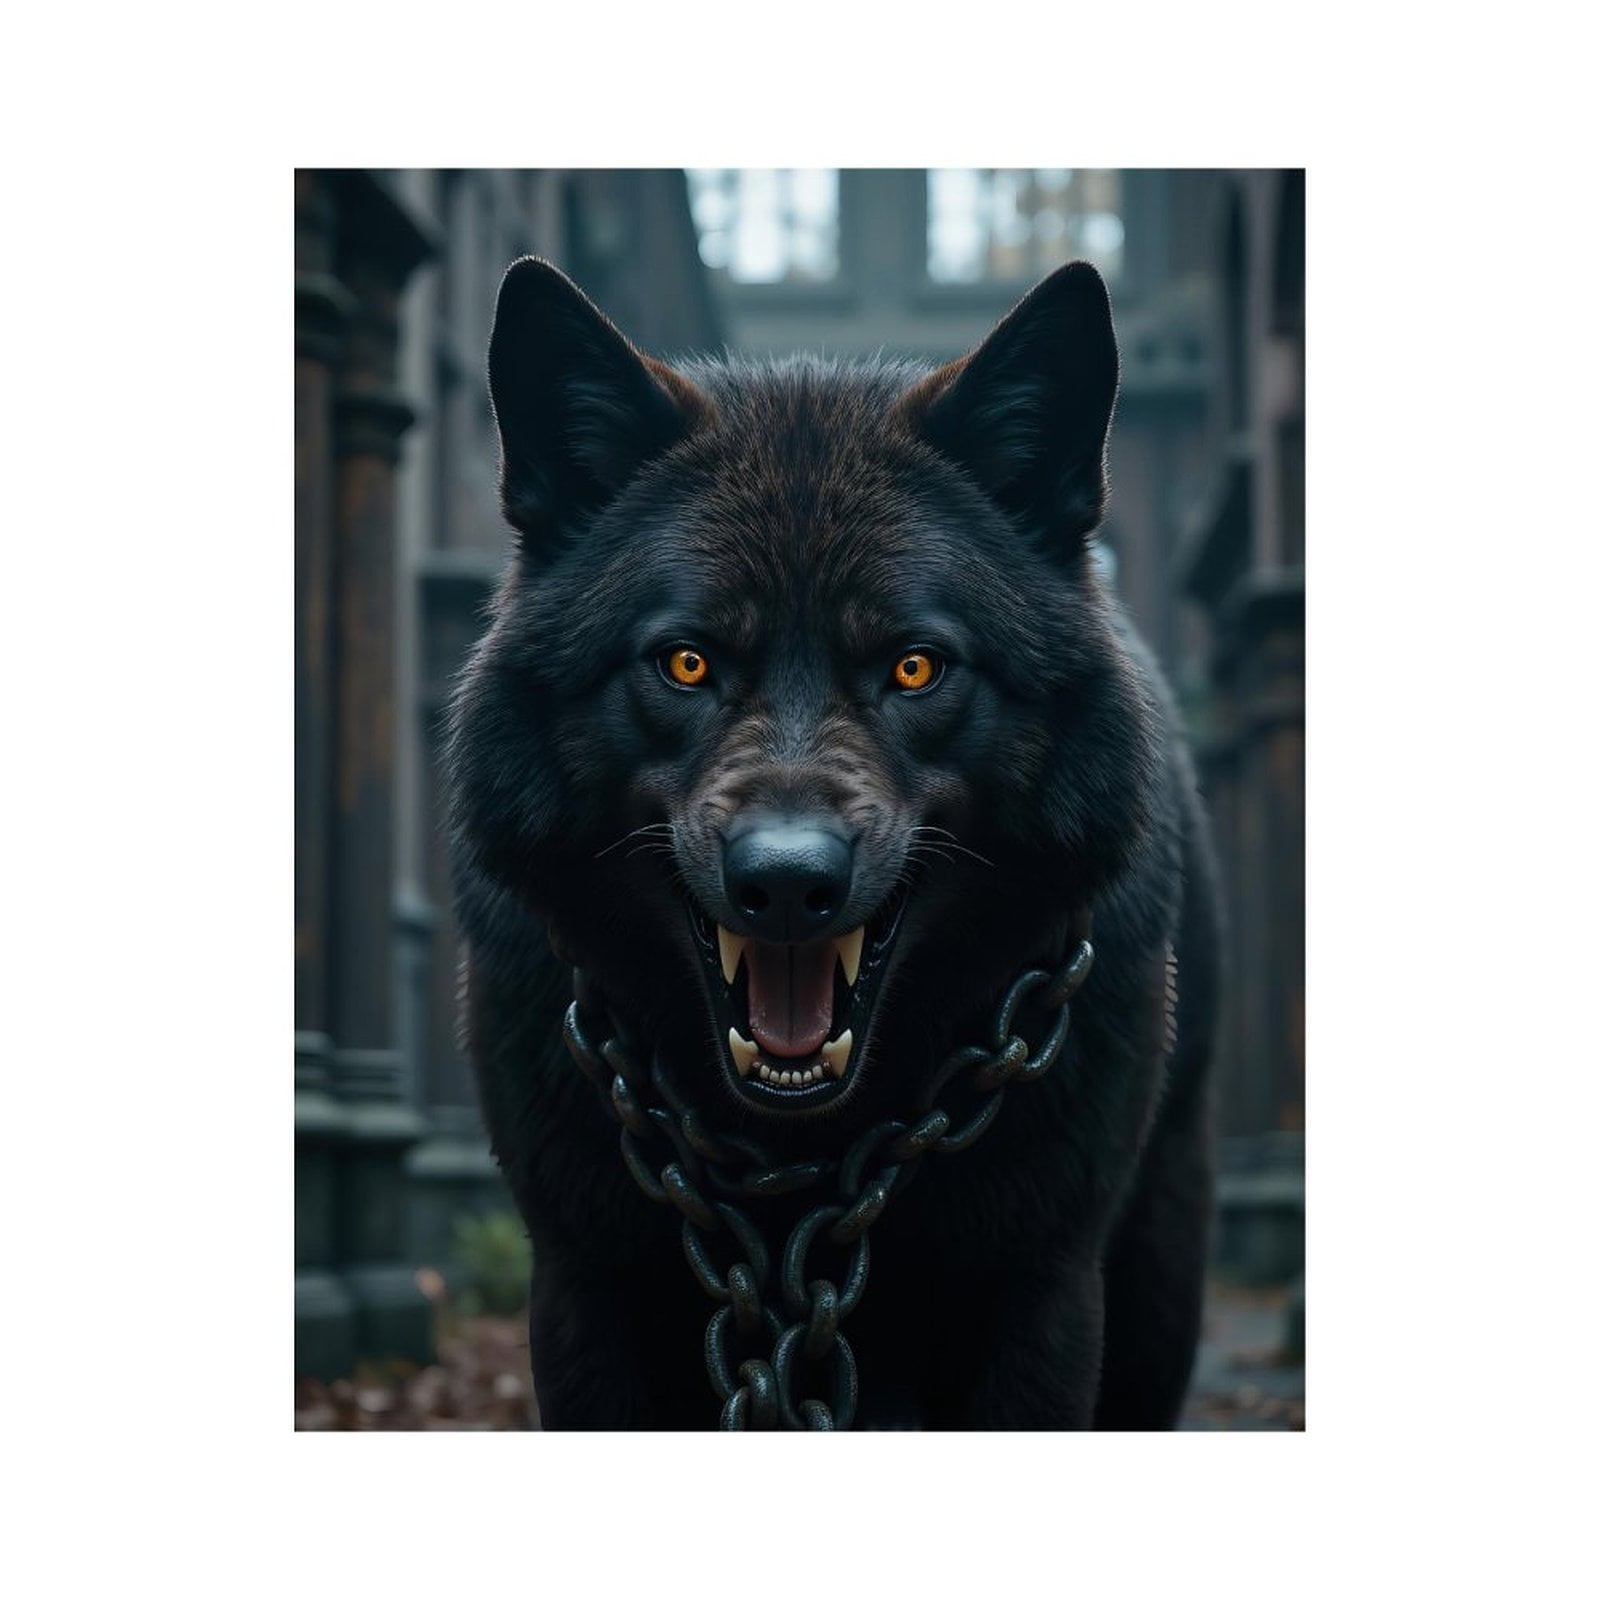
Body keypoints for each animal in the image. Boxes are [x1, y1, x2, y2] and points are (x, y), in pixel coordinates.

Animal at [447, 255, 1221, 1429]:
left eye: (914, 666)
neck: (793, 1161)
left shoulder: (1040, 1297)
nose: (784, 883)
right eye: (685, 662)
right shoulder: (582, 1291)